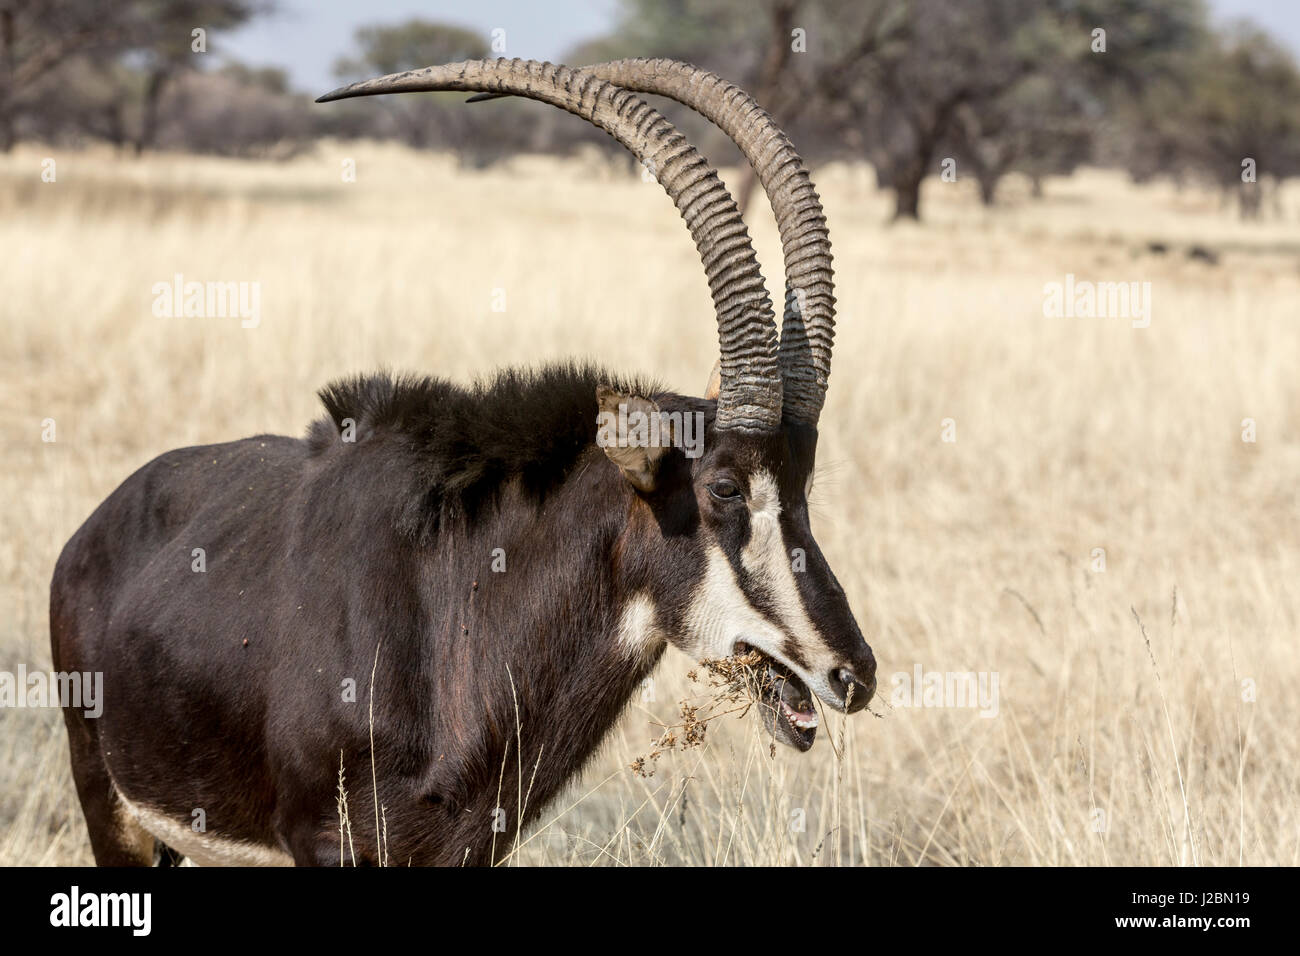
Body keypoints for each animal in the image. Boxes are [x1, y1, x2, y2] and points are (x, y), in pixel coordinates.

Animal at [50, 58, 877, 867]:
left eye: (802, 487)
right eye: (724, 487)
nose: (853, 674)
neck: (458, 603)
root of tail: (96, 529)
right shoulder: (326, 843)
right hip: (115, 811)